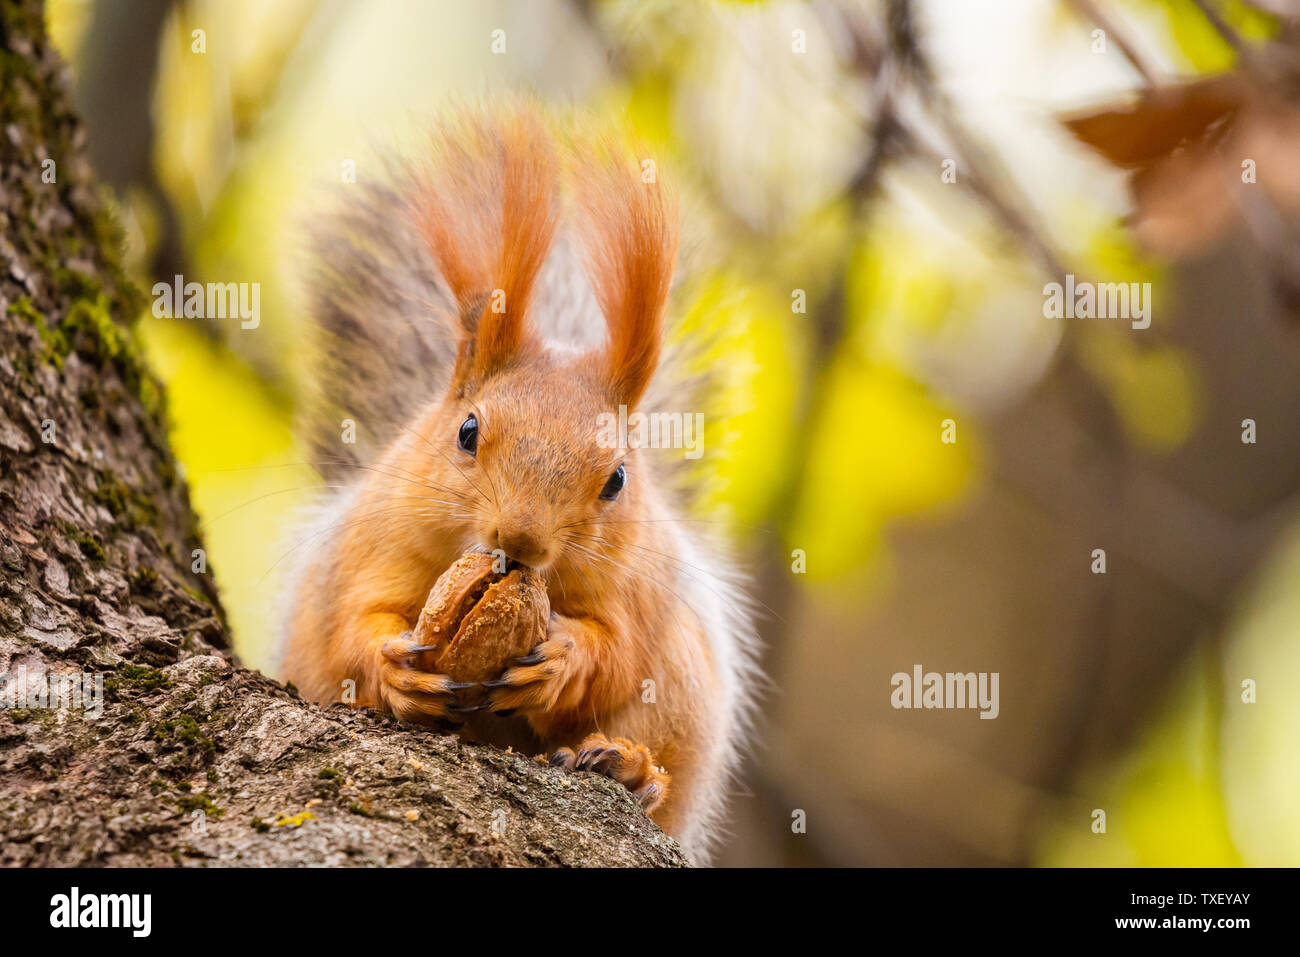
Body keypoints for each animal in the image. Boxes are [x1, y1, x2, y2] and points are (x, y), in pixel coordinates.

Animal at [276, 103, 759, 864]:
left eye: (617, 478)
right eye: (467, 431)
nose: (522, 539)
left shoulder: (640, 586)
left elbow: (618, 649)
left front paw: (562, 659)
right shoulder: (371, 545)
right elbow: (354, 622)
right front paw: (392, 665)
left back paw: (627, 767)